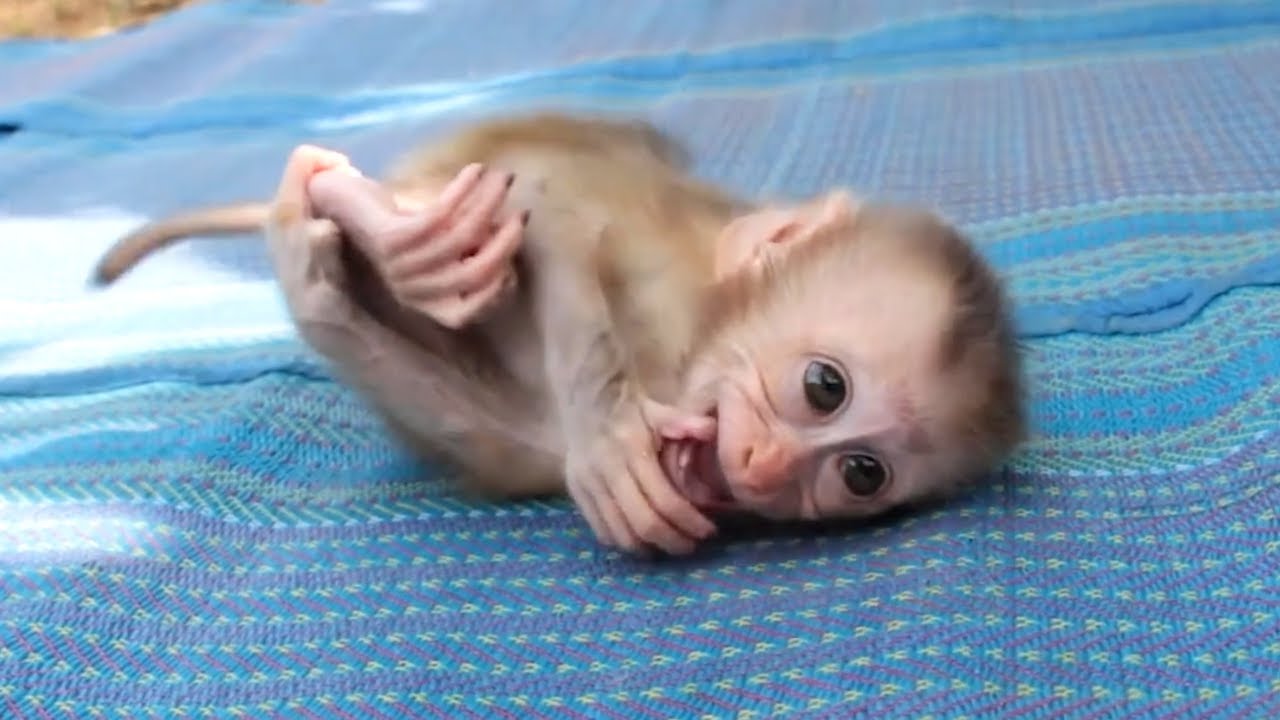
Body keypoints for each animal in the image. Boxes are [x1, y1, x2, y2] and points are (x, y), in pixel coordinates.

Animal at [91, 113, 1026, 557]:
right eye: (824, 386)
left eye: (862, 474)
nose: (765, 469)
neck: (685, 345)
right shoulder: (664, 282)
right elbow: (546, 199)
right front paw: (610, 443)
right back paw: (378, 225)